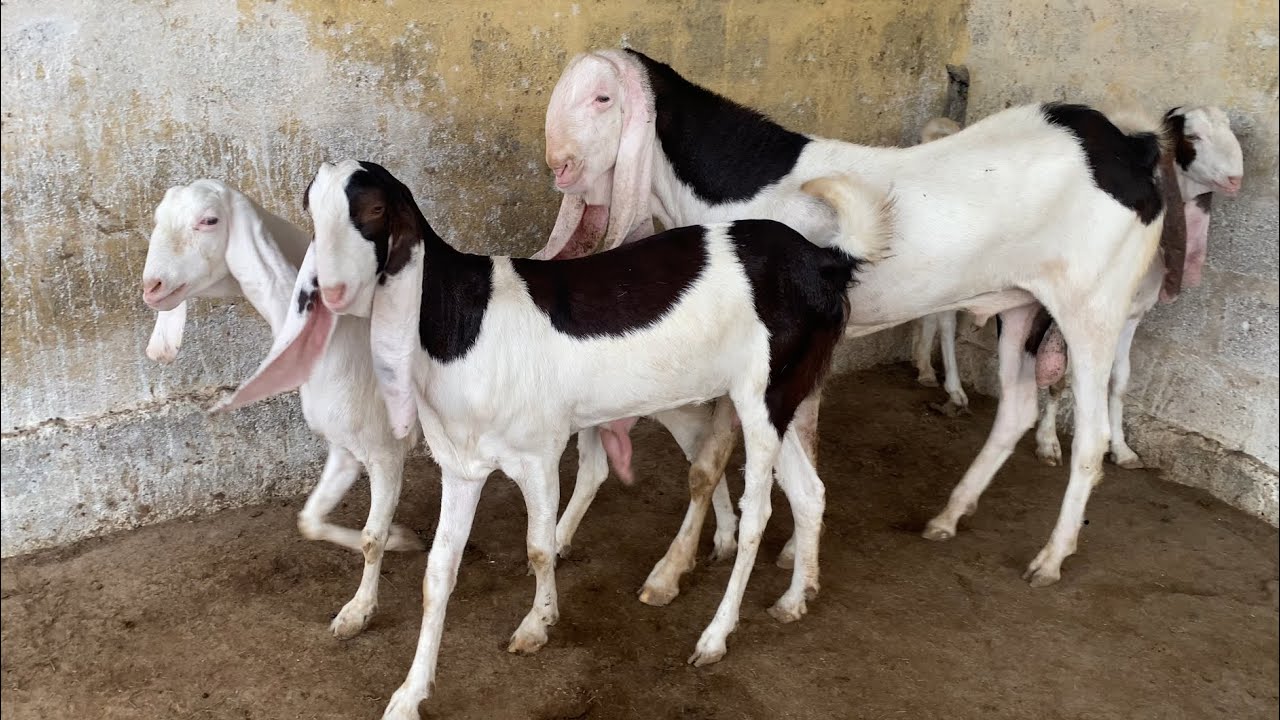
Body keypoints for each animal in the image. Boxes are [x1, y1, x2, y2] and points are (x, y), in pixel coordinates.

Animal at [140, 180, 419, 640]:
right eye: (157, 217)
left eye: (209, 220)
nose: (152, 286)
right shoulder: (344, 446)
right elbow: (310, 520)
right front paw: (403, 538)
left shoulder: (384, 450)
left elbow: (371, 537)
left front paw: (357, 612)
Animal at [213, 160, 891, 715]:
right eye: (311, 206)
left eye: (375, 211)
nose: (326, 292)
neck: (464, 319)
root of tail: (825, 260)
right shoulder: (461, 465)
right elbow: (437, 571)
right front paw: (409, 693)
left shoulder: (537, 453)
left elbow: (538, 548)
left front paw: (538, 625)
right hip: (785, 395)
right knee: (809, 491)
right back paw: (797, 596)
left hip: (761, 395)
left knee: (759, 512)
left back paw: (715, 635)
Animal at [538, 49, 1176, 589]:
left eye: (602, 98)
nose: (559, 167)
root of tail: (1129, 149)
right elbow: (774, 450)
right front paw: (789, 552)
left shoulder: (758, 352)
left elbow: (710, 461)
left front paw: (672, 571)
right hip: (1020, 304)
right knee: (1016, 409)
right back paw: (949, 515)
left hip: (1093, 308)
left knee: (1091, 436)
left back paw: (1051, 556)